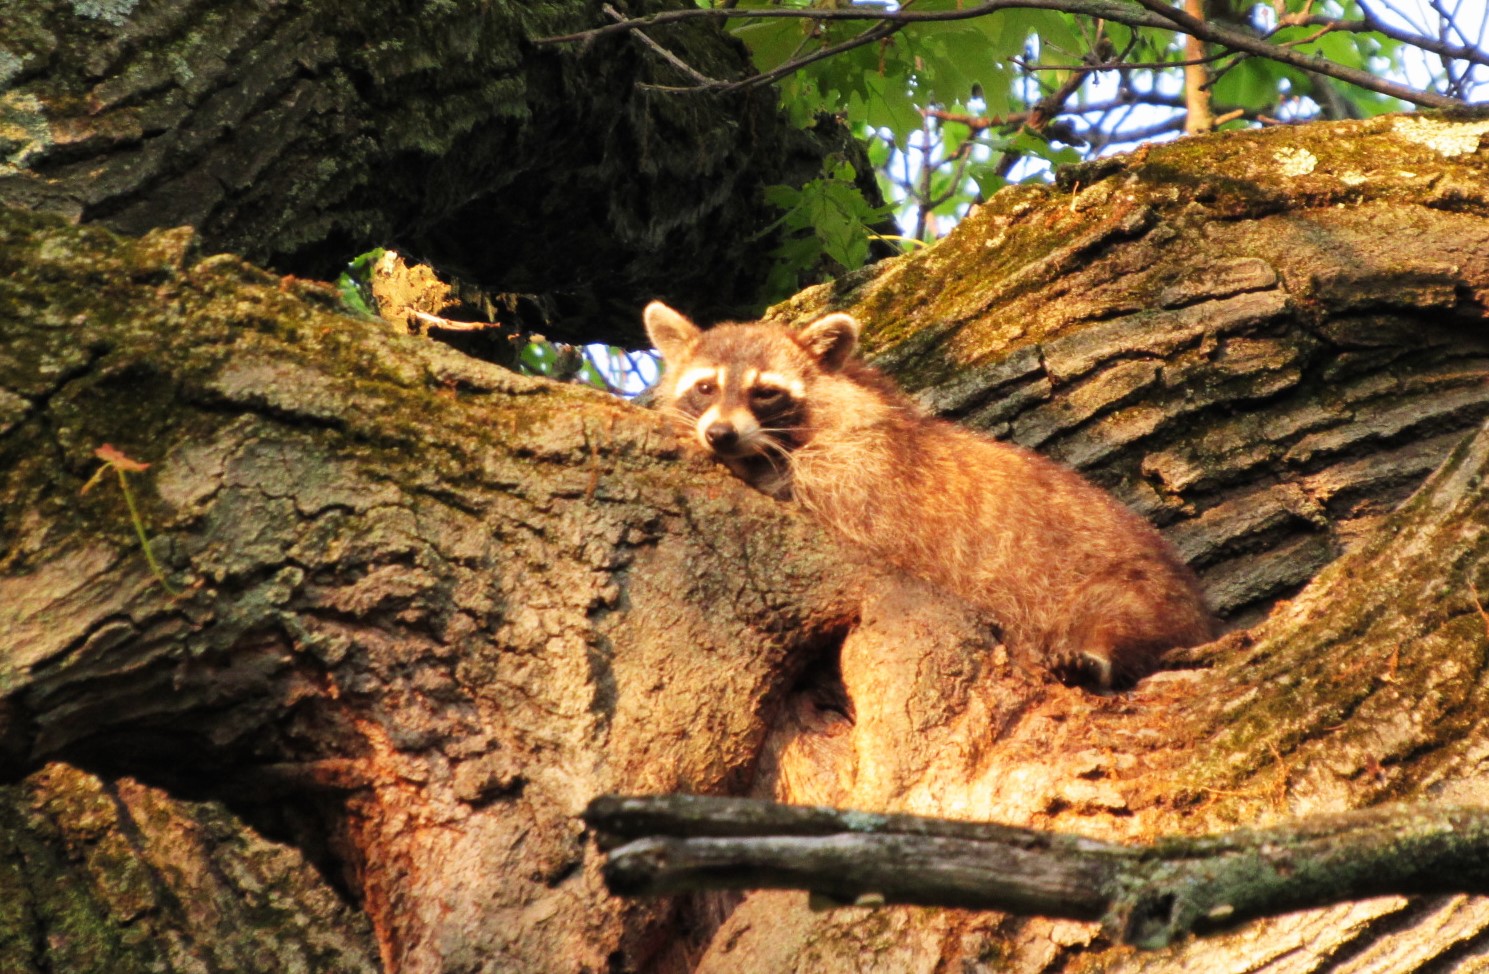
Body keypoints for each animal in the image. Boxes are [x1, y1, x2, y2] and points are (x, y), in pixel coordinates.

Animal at [643, 301, 1215, 687]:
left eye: (765, 392)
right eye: (705, 388)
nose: (721, 435)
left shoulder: (860, 473)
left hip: (1137, 586)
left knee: (1121, 618)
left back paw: (1101, 655)